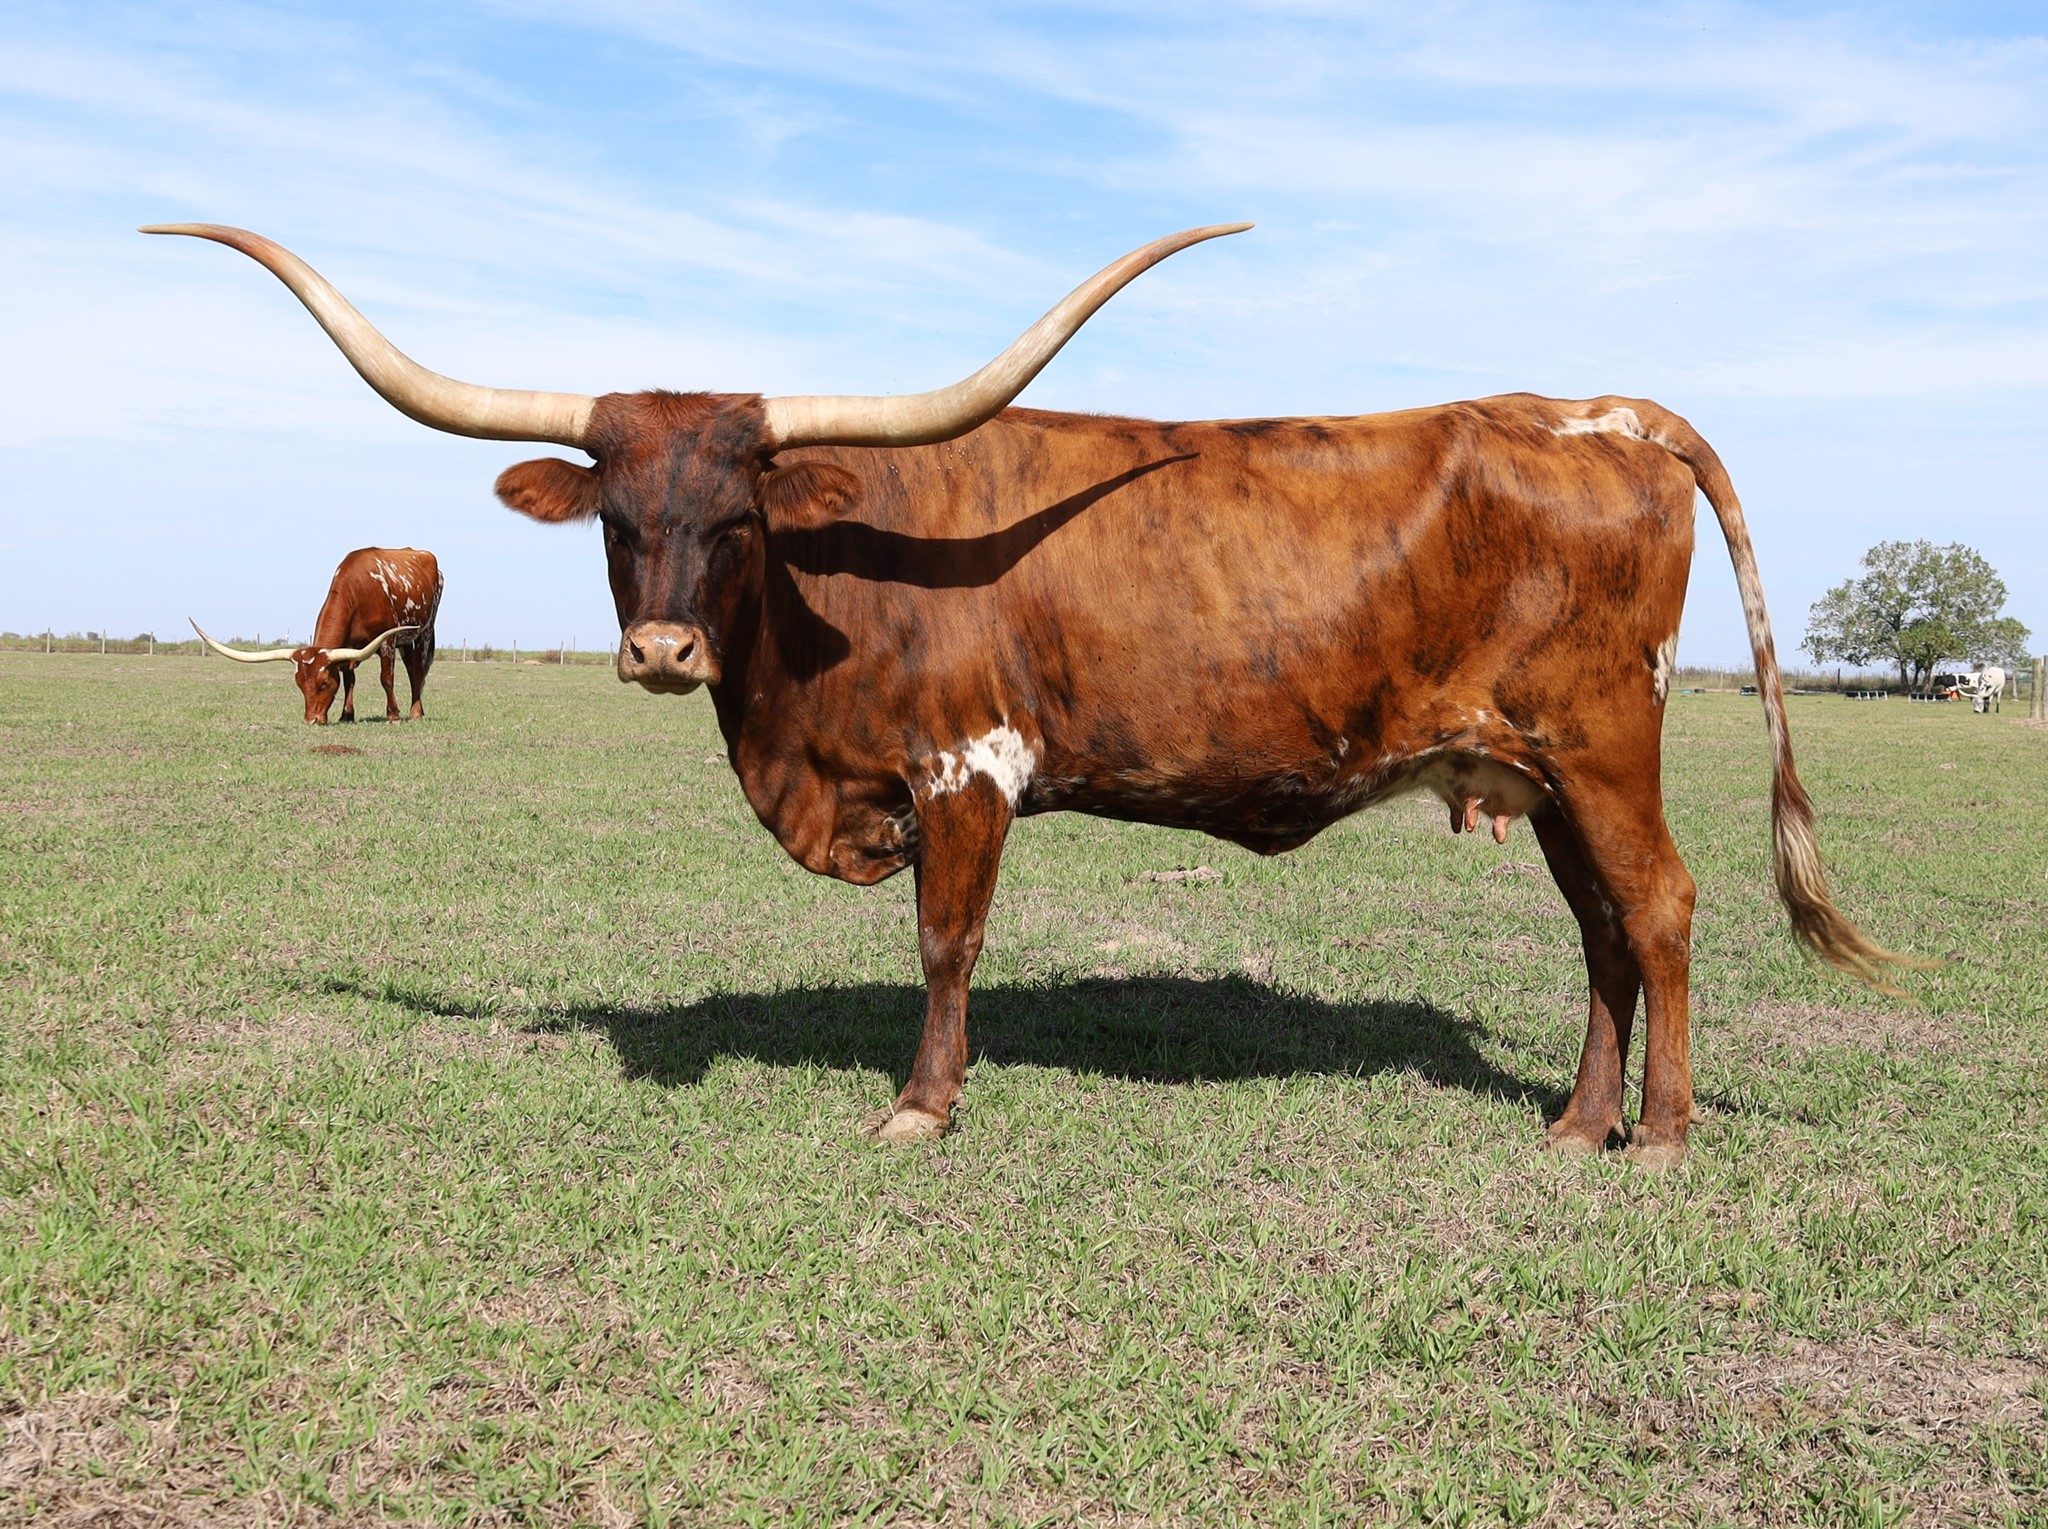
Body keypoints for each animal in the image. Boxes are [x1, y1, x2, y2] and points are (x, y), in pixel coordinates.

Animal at [191, 546, 442, 724]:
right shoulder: (349, 647)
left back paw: (416, 712)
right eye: (299, 684)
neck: (361, 589)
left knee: (417, 671)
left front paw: (393, 715)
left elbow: (386, 678)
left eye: (324, 683)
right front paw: (347, 715)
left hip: (424, 632)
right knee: (411, 669)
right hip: (406, 640)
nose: (311, 720)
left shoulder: (387, 641)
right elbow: (349, 680)